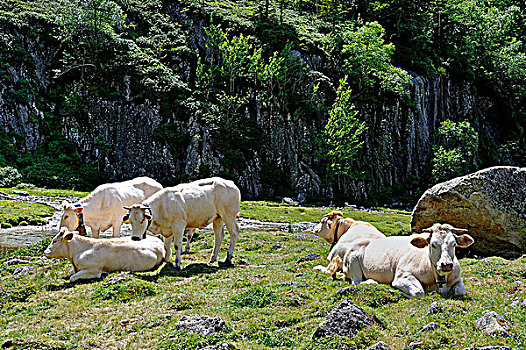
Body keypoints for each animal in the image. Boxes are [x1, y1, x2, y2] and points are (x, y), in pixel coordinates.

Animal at [332, 224, 476, 298]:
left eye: (453, 244)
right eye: (433, 244)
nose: (446, 264)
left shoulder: (457, 278)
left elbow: (460, 291)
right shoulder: (402, 276)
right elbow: (419, 292)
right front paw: (396, 291)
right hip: (353, 264)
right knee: (356, 282)